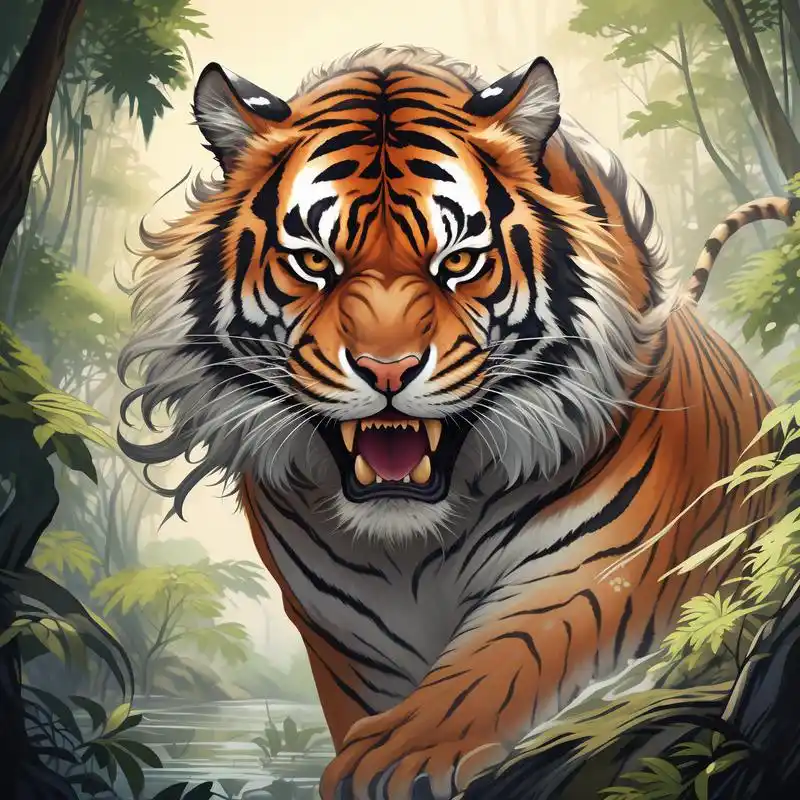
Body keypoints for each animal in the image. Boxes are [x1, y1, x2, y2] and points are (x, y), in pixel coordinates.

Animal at [119, 44, 799, 800]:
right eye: (314, 262)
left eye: (460, 262)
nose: (387, 371)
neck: (409, 547)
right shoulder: (341, 640)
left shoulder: (601, 569)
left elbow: (503, 657)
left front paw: (395, 757)